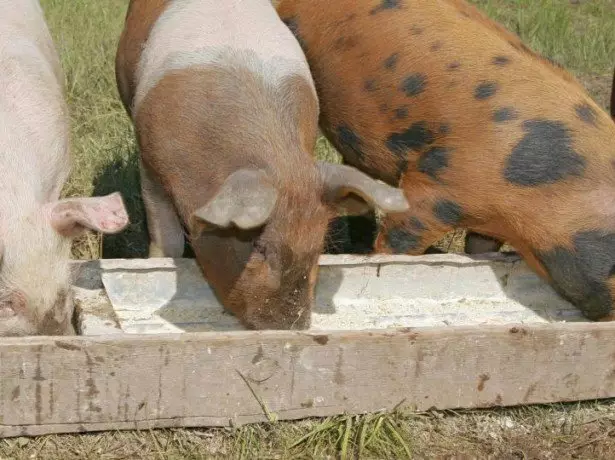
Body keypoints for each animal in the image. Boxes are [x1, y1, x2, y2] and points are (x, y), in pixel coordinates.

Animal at [115, 0, 410, 330]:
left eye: (318, 245)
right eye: (258, 246)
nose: (292, 326)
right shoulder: (149, 165)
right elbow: (167, 240)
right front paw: (158, 261)